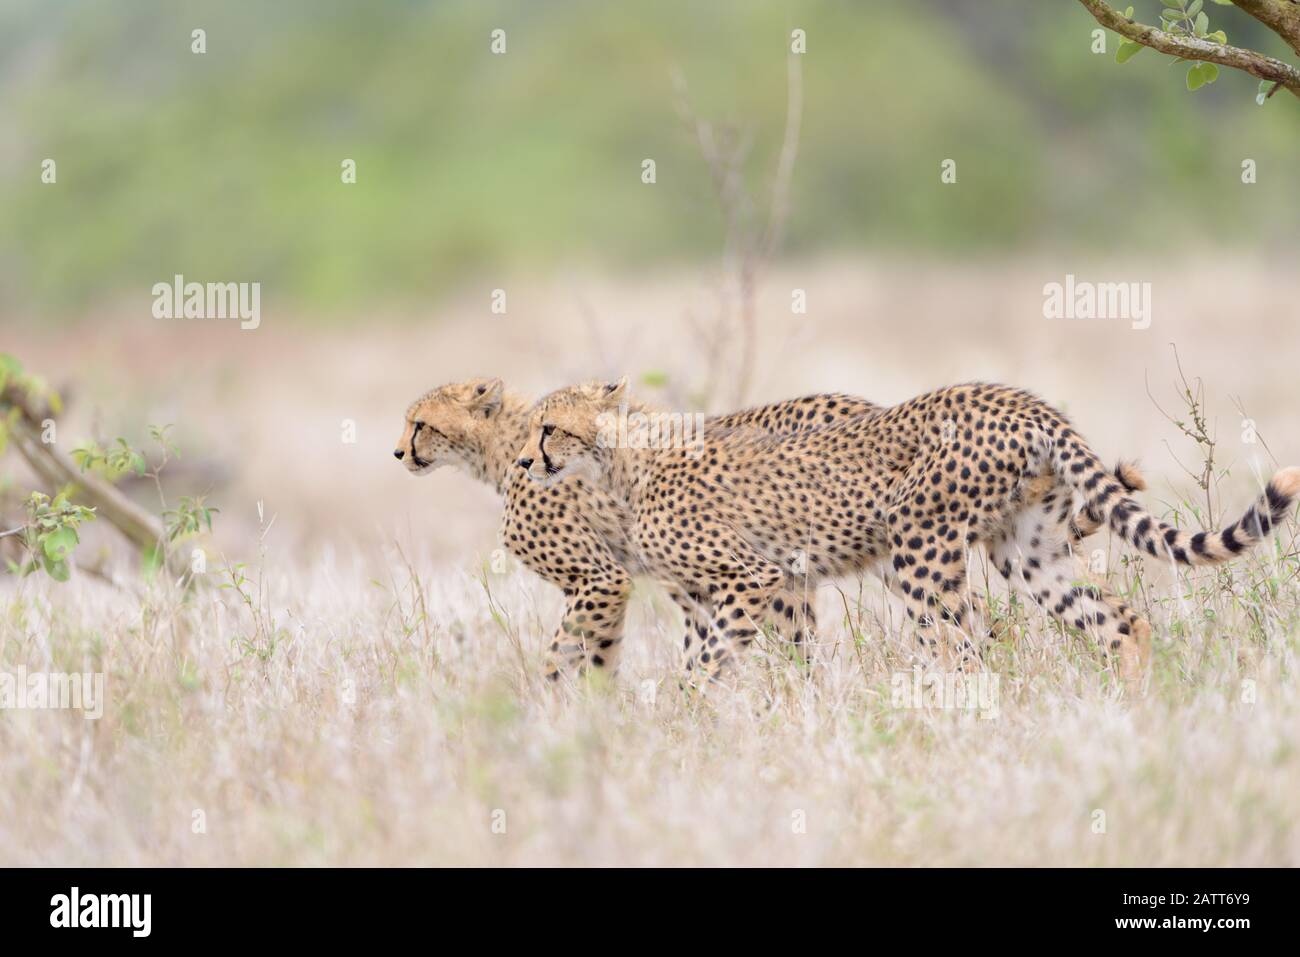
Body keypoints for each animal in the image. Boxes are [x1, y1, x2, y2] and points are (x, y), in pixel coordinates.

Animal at [517, 378, 1300, 691]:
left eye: (548, 426)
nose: (525, 461)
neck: (620, 459)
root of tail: (1020, 400)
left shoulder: (753, 578)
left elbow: (704, 664)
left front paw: (683, 720)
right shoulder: (740, 586)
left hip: (917, 546)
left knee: (965, 650)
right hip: (1026, 553)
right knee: (1117, 620)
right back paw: (1136, 705)